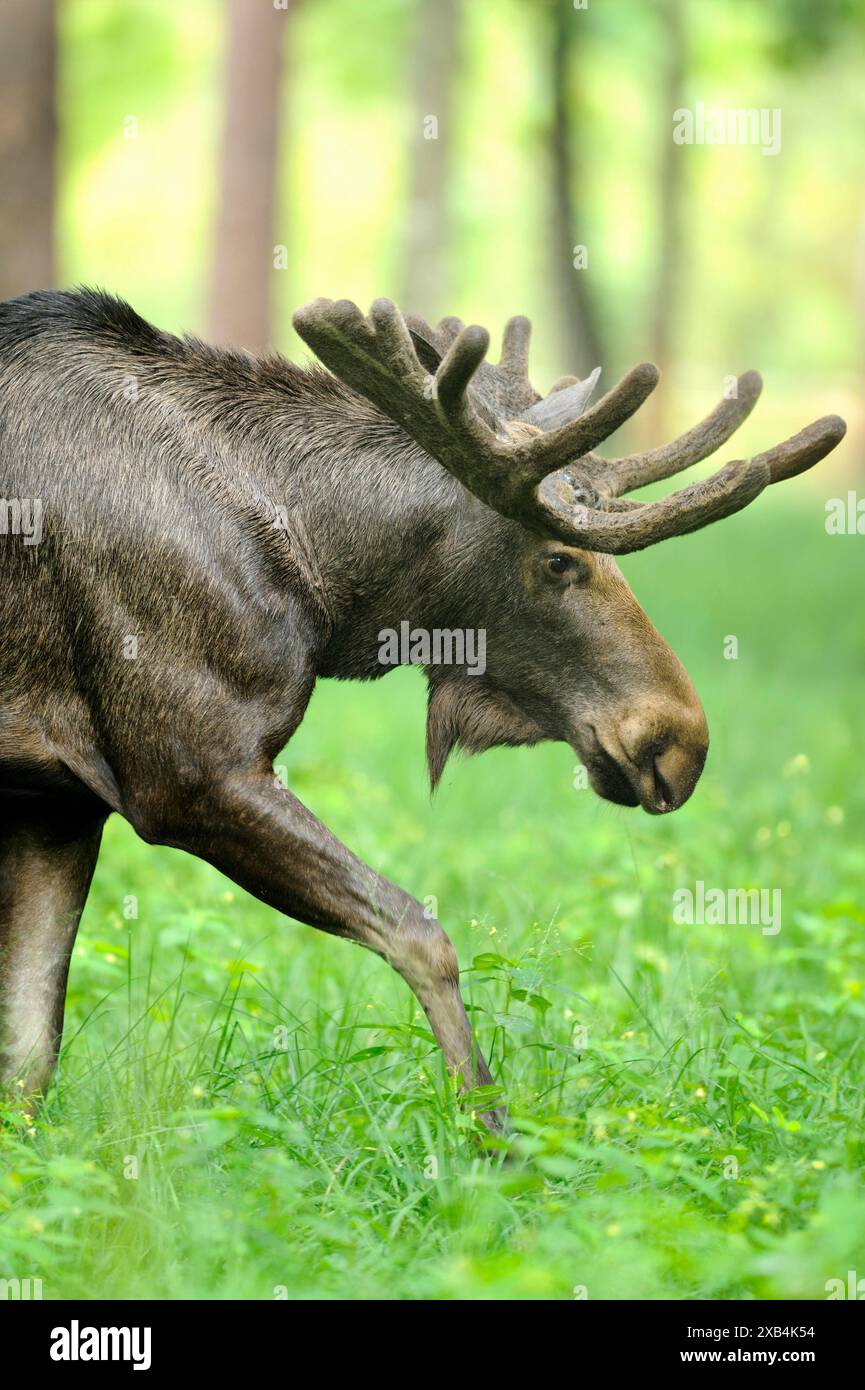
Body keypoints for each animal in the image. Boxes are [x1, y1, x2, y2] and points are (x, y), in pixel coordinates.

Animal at [0, 288, 845, 1128]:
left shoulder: (60, 801)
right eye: (558, 560)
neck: (323, 583)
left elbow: (30, 1058)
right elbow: (421, 934)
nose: (679, 740)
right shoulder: (187, 773)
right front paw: (494, 1134)